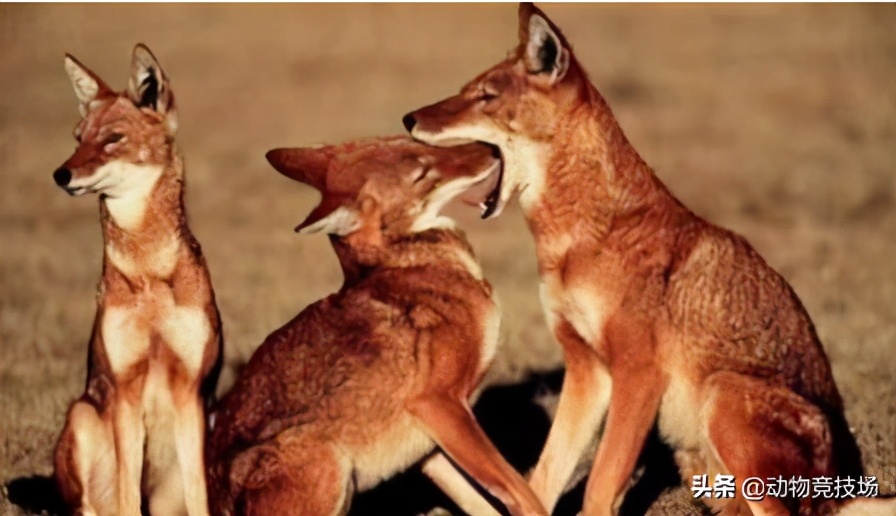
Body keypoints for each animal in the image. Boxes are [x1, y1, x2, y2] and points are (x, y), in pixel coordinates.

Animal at [51, 44, 222, 516]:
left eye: (112, 139)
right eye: (78, 138)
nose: (61, 175)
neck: (147, 275)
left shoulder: (191, 392)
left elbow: (200, 499)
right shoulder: (124, 389)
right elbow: (128, 494)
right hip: (82, 417)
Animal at [205, 136, 547, 516]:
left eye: (415, 140)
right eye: (421, 172)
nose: (490, 148)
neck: (411, 267)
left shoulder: (426, 444)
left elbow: (480, 503)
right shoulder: (440, 405)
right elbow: (522, 493)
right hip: (332, 466)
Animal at [401, 3, 892, 515]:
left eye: (486, 97)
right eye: (466, 90)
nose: (409, 118)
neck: (581, 239)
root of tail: (842, 489)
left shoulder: (638, 372)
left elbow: (599, 485)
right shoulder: (587, 369)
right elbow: (541, 480)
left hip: (723, 395)